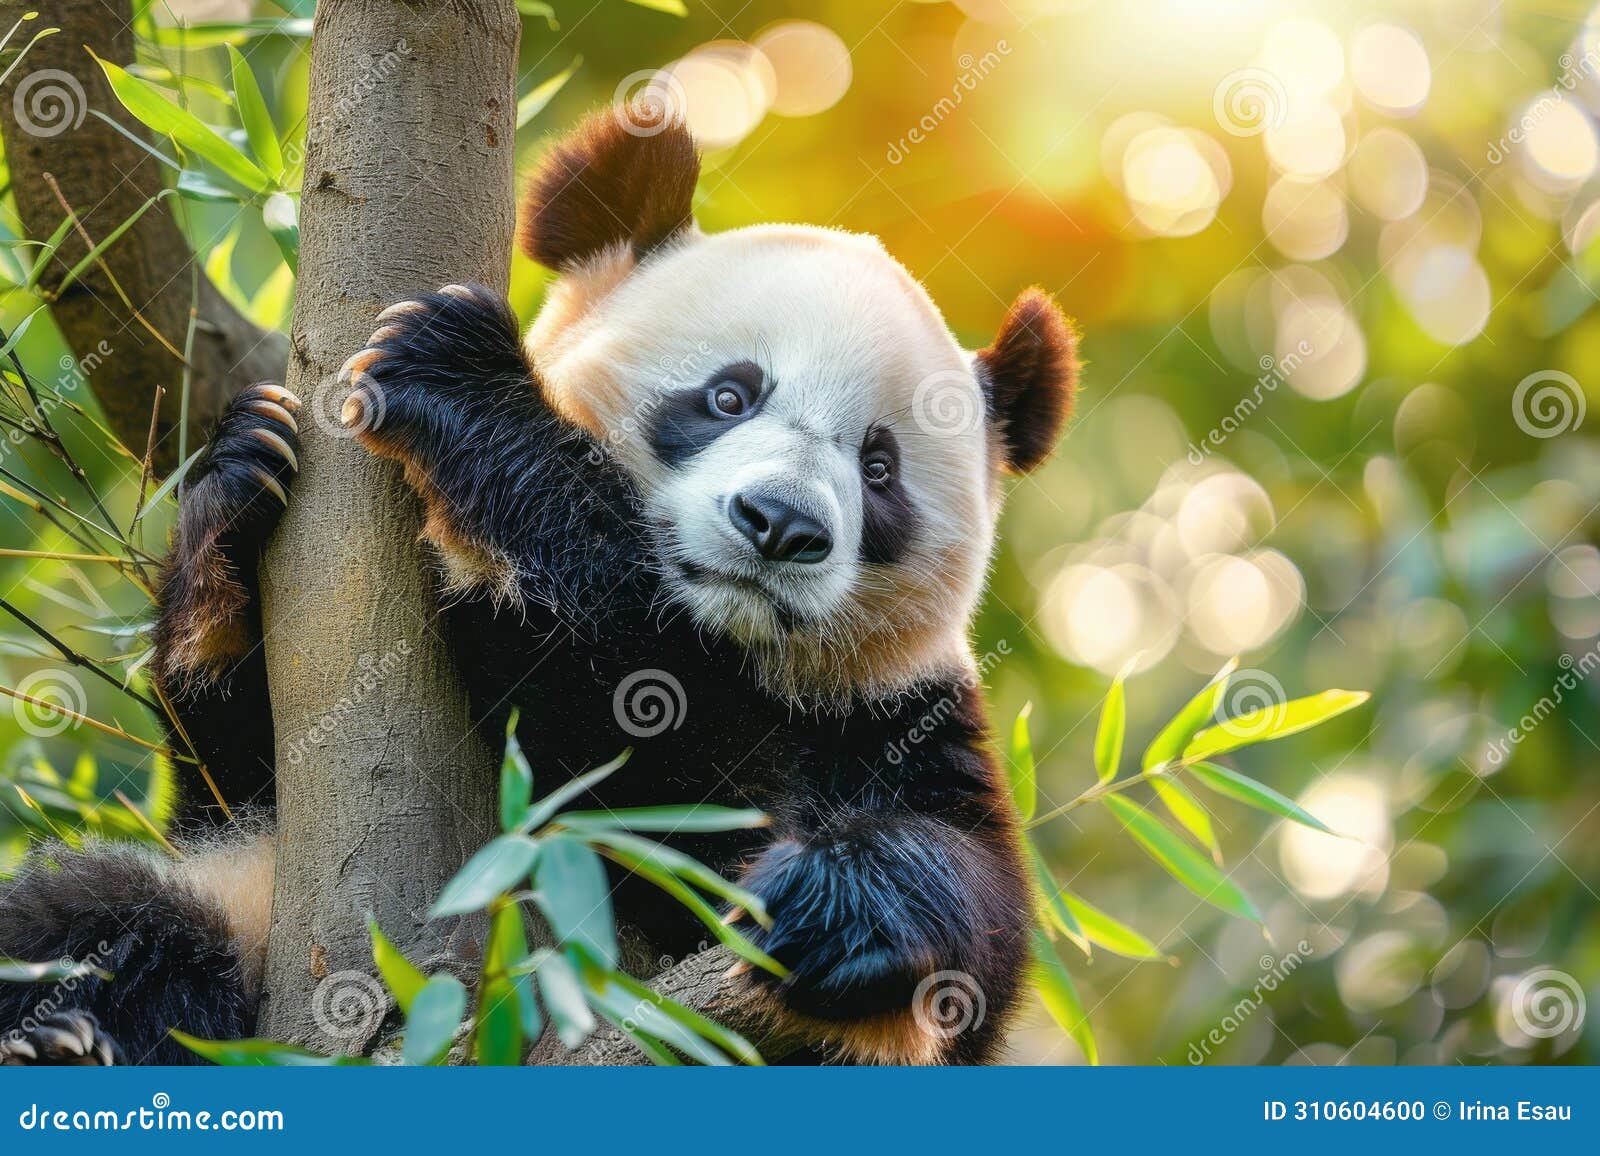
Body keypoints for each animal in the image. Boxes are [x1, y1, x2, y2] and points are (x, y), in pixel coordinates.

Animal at [0, 110, 1078, 1066]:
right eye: (729, 395)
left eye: (879, 469)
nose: (778, 524)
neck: (723, 635)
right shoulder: (261, 808)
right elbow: (230, 768)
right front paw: (236, 481)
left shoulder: (888, 712)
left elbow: (698, 789)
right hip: (235, 908)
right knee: (99, 917)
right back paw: (58, 1037)